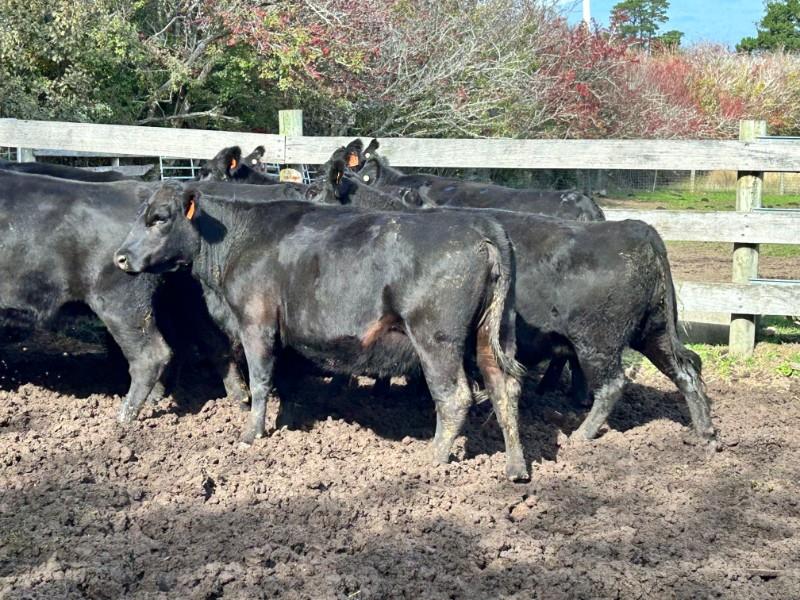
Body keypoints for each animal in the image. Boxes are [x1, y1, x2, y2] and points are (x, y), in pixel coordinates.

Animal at [115, 181, 530, 481]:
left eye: (160, 217)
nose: (120, 257)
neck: (239, 241)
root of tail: (479, 225)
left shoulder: (256, 322)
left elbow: (260, 381)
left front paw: (251, 434)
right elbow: (287, 381)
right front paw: (291, 421)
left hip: (436, 338)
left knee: (455, 397)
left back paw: (432, 459)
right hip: (493, 333)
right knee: (504, 388)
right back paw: (516, 467)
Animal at [317, 161, 719, 449]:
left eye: (317, 190)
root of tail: (638, 230)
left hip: (598, 343)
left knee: (612, 386)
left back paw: (580, 435)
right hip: (653, 331)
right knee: (686, 371)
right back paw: (706, 435)